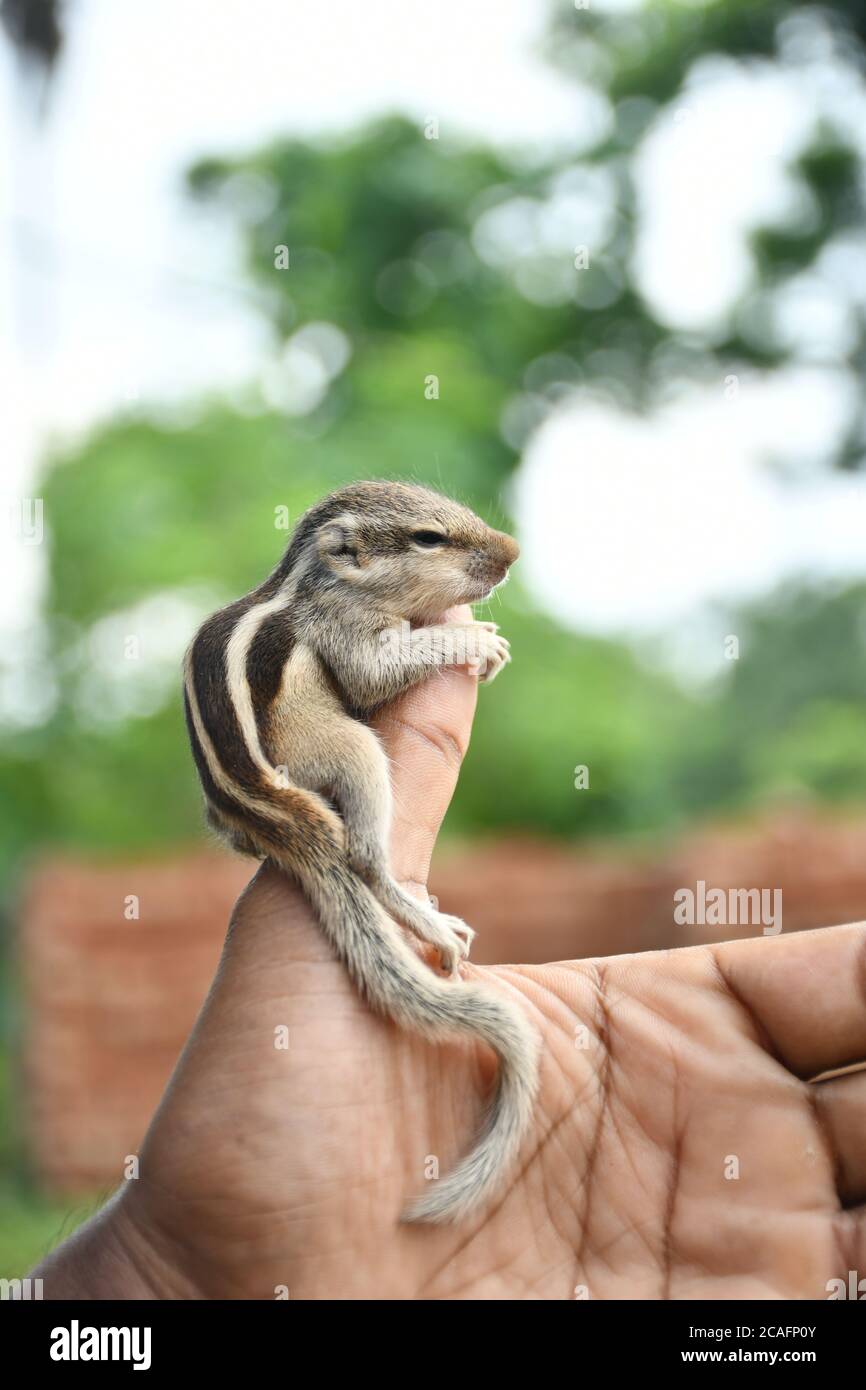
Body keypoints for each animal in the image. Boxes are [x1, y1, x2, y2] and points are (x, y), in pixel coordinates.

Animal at [182, 480, 539, 1223]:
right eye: (429, 538)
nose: (515, 551)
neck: (316, 582)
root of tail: (270, 810)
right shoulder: (345, 638)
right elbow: (377, 674)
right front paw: (470, 638)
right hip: (347, 747)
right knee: (370, 859)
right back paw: (428, 920)